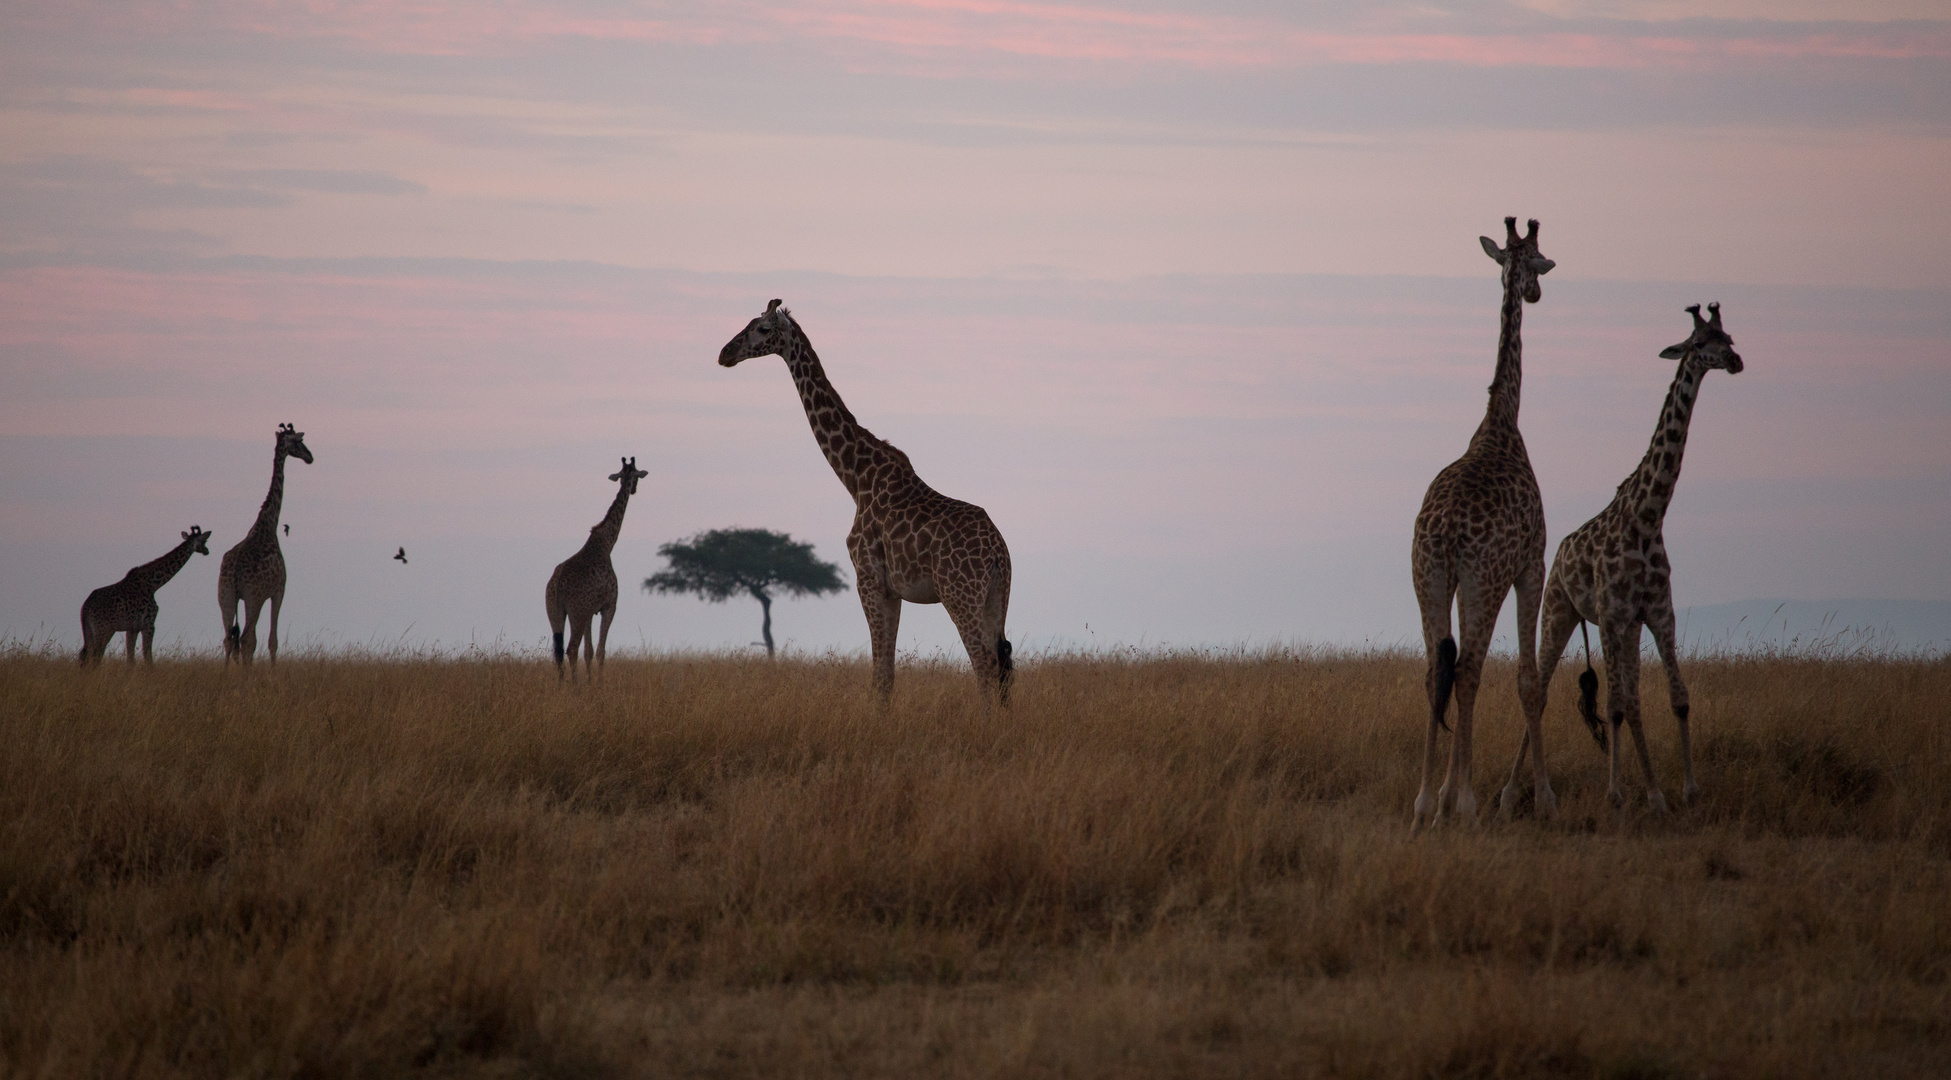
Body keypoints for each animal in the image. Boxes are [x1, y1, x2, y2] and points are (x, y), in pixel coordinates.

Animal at [79, 526, 212, 666]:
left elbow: (131, 660)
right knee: (95, 656)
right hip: (104, 630)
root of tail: (85, 609)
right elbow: (148, 658)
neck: (153, 584)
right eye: (204, 541)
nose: (207, 551)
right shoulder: (149, 624)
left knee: (84, 655)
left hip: (89, 630)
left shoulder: (132, 628)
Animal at [219, 423, 313, 667]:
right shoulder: (279, 590)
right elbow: (272, 640)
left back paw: (226, 673)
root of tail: (235, 572)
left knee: (228, 639)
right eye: (299, 442)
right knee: (245, 638)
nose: (310, 457)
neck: (268, 524)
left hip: (225, 596)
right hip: (254, 597)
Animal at [546, 456, 647, 682]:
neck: (607, 543)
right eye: (637, 475)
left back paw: (561, 685)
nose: (634, 489)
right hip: (576, 612)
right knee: (570, 648)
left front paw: (591, 681)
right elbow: (600, 650)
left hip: (555, 611)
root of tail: (557, 585)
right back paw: (574, 686)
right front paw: (599, 683)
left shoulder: (590, 611)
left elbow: (589, 651)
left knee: (558, 652)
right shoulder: (608, 606)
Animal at [718, 300, 1014, 704]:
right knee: (1003, 663)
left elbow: (881, 674)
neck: (856, 478)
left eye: (762, 328)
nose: (725, 354)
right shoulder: (891, 589)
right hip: (997, 595)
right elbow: (887, 671)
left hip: (959, 594)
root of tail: (997, 550)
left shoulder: (868, 579)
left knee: (984, 664)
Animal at [1501, 303, 1744, 816]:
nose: (1735, 362)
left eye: (1729, 337)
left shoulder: (1657, 613)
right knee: (1547, 691)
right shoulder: (1613, 615)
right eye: (1699, 343)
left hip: (1624, 628)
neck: (1648, 517)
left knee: (1623, 696)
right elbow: (1619, 705)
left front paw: (1683, 791)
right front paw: (1627, 794)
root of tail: (1559, 553)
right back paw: (1514, 792)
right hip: (1561, 612)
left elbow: (1675, 698)